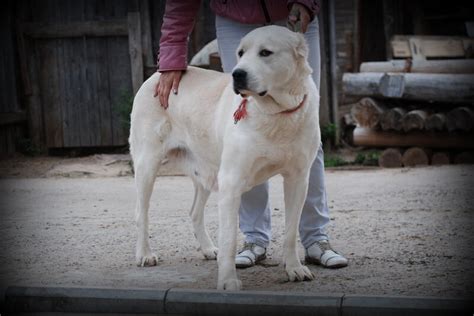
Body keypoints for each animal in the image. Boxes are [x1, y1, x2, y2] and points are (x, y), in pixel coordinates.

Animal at [130, 25, 320, 292]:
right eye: (240, 53)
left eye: (265, 52)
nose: (237, 75)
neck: (277, 114)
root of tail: (156, 76)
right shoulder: (232, 182)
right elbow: (230, 238)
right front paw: (228, 281)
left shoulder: (298, 179)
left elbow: (292, 231)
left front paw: (294, 269)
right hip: (148, 165)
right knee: (141, 213)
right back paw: (145, 254)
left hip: (207, 173)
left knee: (194, 212)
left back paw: (209, 249)